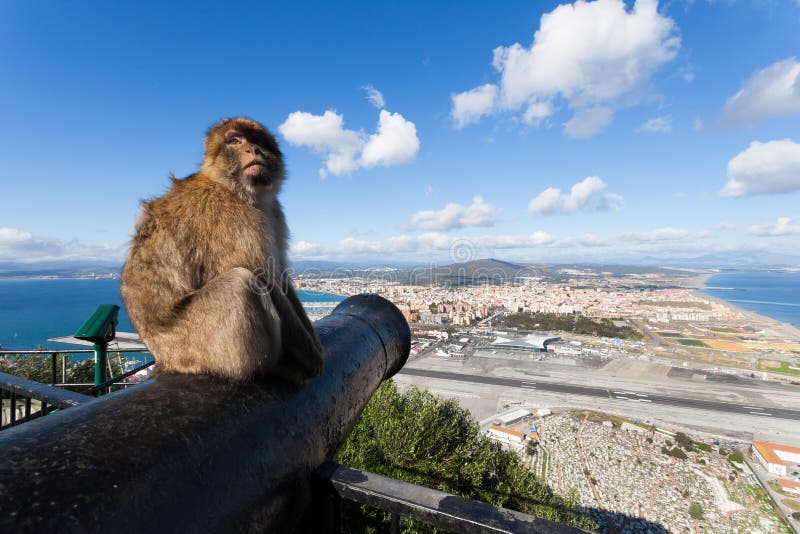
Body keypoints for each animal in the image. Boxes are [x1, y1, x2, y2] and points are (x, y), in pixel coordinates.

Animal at [120, 117, 323, 383]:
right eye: (234, 141)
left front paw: (317, 345)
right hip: (194, 345)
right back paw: (270, 368)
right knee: (240, 283)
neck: (238, 191)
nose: (253, 150)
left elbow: (280, 276)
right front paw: (313, 359)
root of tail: (163, 359)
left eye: (256, 140)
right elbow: (264, 277)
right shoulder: (229, 218)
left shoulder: (275, 215)